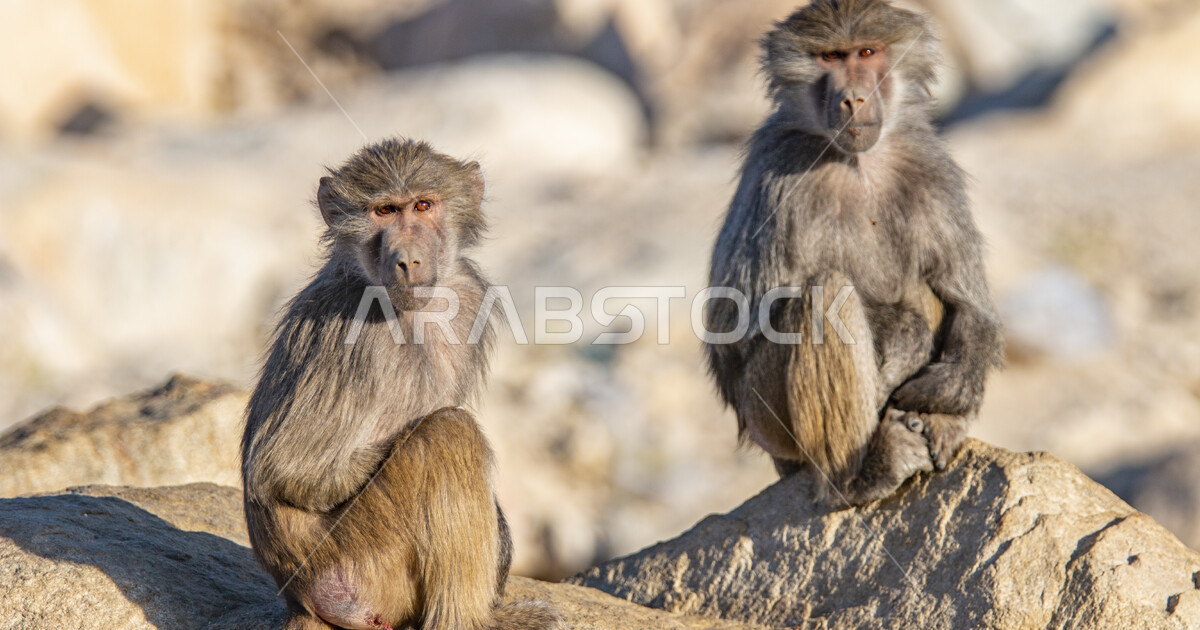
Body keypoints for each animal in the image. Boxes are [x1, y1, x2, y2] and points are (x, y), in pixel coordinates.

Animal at [241, 139, 564, 630]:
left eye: (423, 206)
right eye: (385, 211)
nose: (408, 260)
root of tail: (299, 599)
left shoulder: (468, 294)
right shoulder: (351, 334)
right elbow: (285, 471)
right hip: (364, 562)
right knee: (448, 433)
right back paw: (470, 621)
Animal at [704, 0, 1003, 506]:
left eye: (866, 52)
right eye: (830, 57)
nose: (853, 100)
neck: (858, 162)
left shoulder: (934, 170)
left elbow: (968, 303)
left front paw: (951, 389)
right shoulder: (774, 171)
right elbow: (736, 330)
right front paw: (904, 333)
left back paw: (934, 426)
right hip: (769, 421)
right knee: (825, 291)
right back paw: (860, 476)